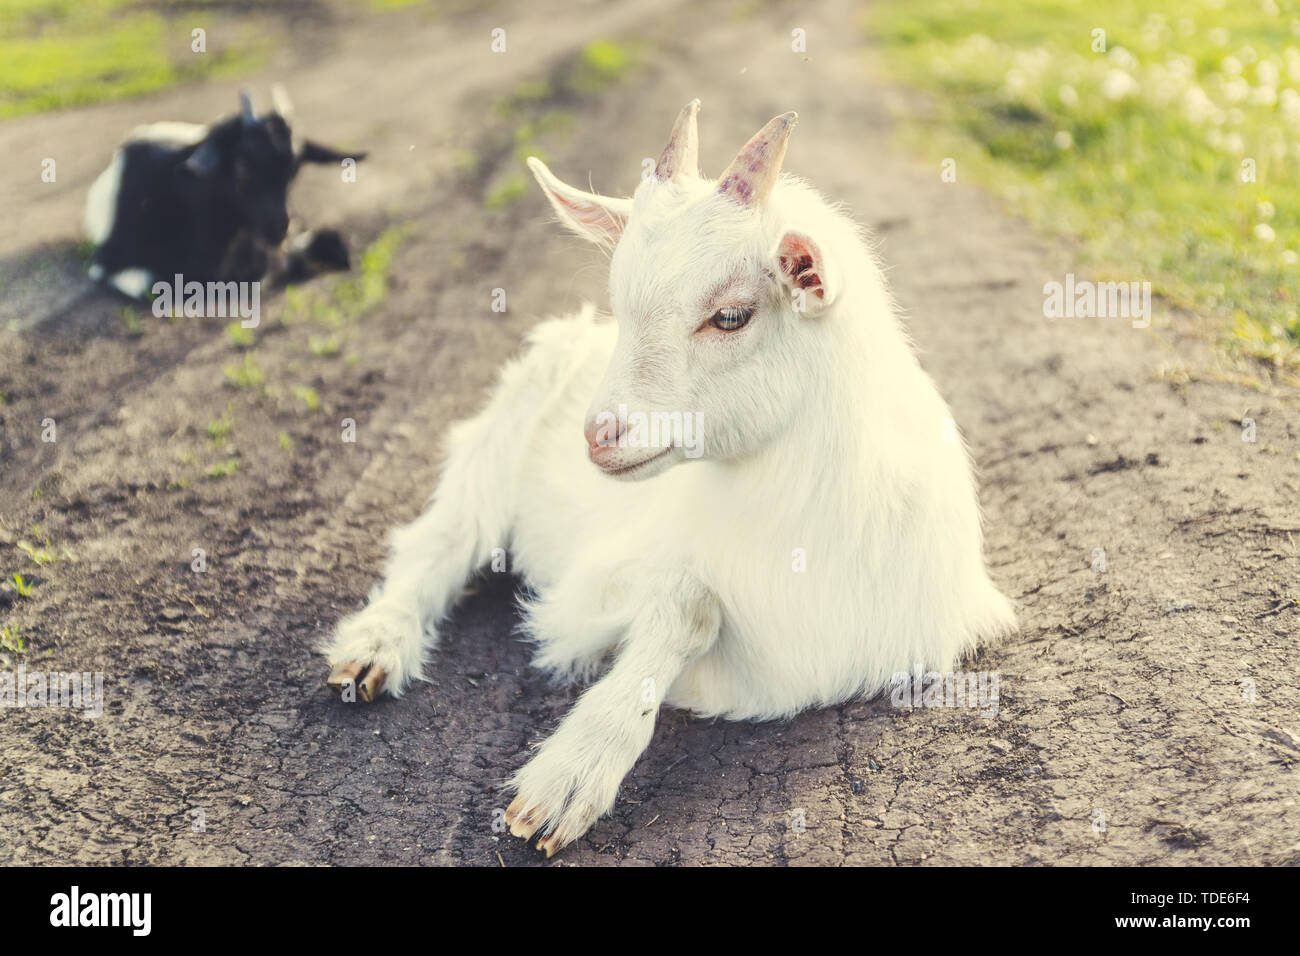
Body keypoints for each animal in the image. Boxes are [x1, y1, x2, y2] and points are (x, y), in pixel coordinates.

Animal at [322, 101, 1016, 856]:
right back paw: (374, 647)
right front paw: (572, 776)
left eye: (731, 315)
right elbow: (691, 606)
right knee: (439, 541)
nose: (598, 434)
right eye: (621, 303)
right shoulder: (588, 589)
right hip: (503, 431)